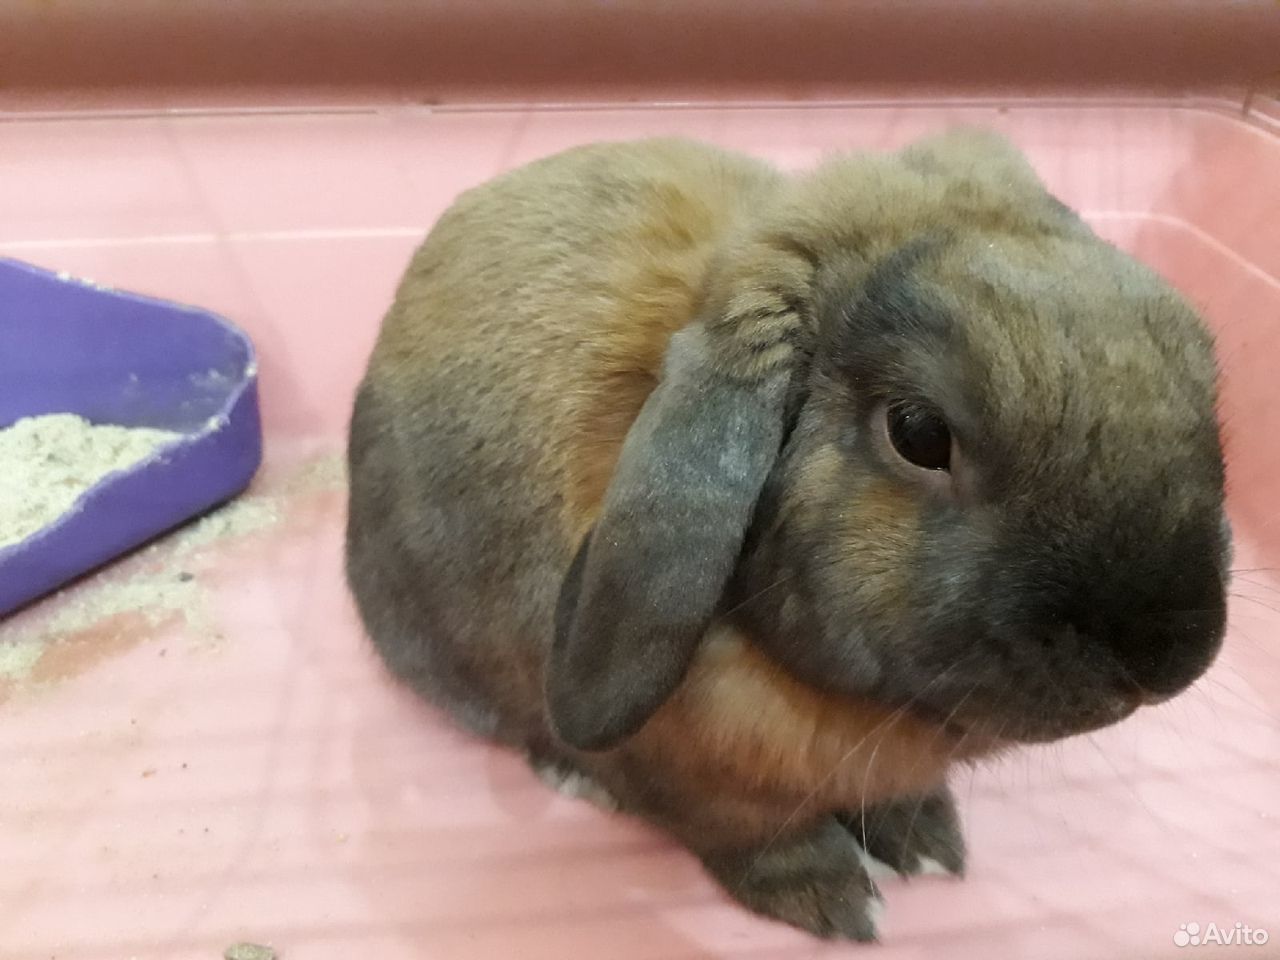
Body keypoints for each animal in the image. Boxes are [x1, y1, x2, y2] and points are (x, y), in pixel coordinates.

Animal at [345, 131, 1229, 941]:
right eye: (919, 433)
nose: (1166, 657)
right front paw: (835, 903)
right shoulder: (703, 789)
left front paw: (928, 842)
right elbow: (761, 840)